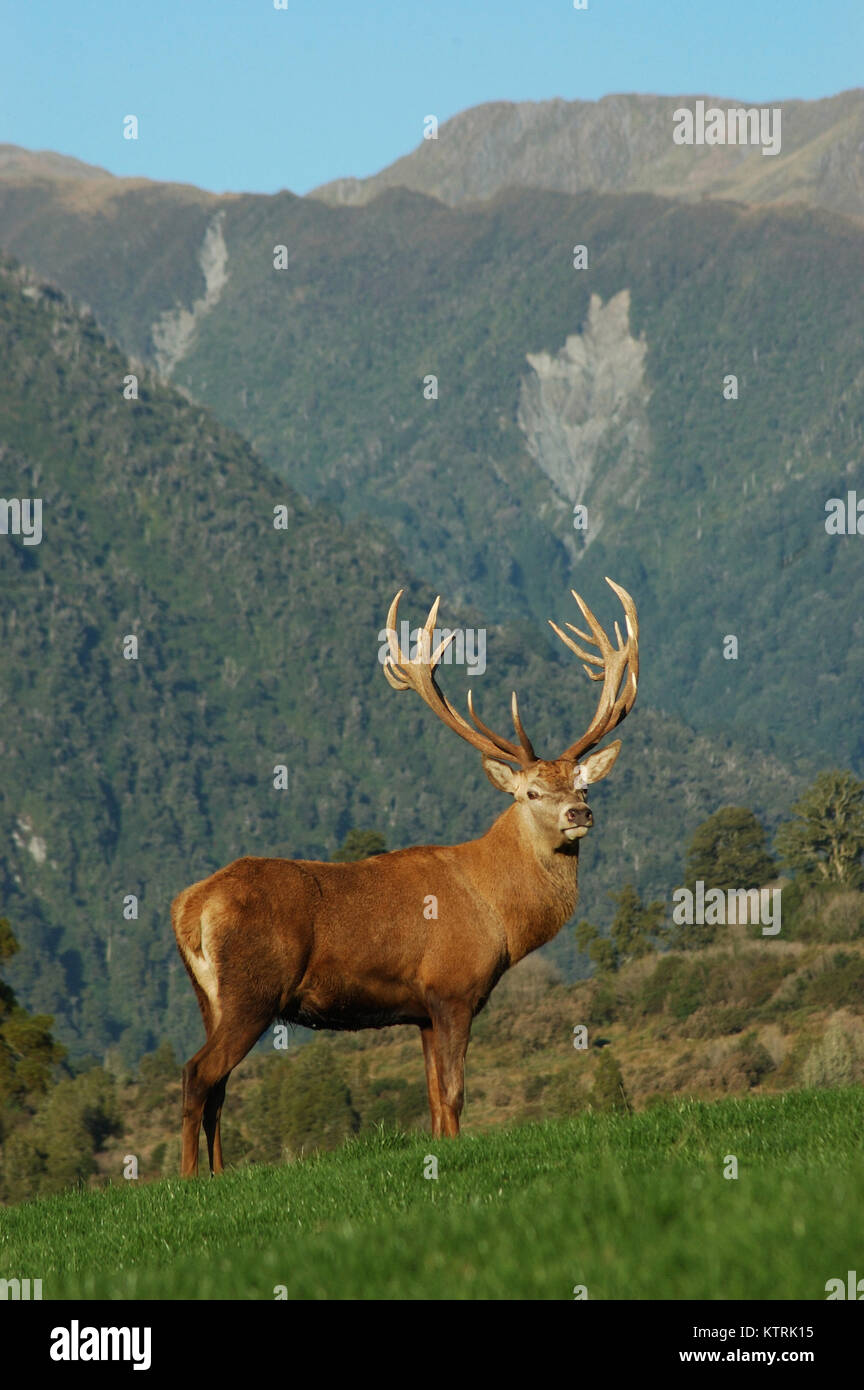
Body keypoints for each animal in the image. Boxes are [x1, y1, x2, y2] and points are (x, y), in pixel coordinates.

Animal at [172, 578, 638, 1175]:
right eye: (532, 792)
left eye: (581, 785)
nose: (580, 813)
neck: (500, 915)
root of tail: (188, 907)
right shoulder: (453, 988)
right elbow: (456, 1093)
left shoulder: (421, 1011)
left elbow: (435, 1097)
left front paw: (439, 1153)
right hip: (252, 991)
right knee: (198, 1074)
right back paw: (188, 1178)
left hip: (209, 998)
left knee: (219, 1086)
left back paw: (219, 1171)